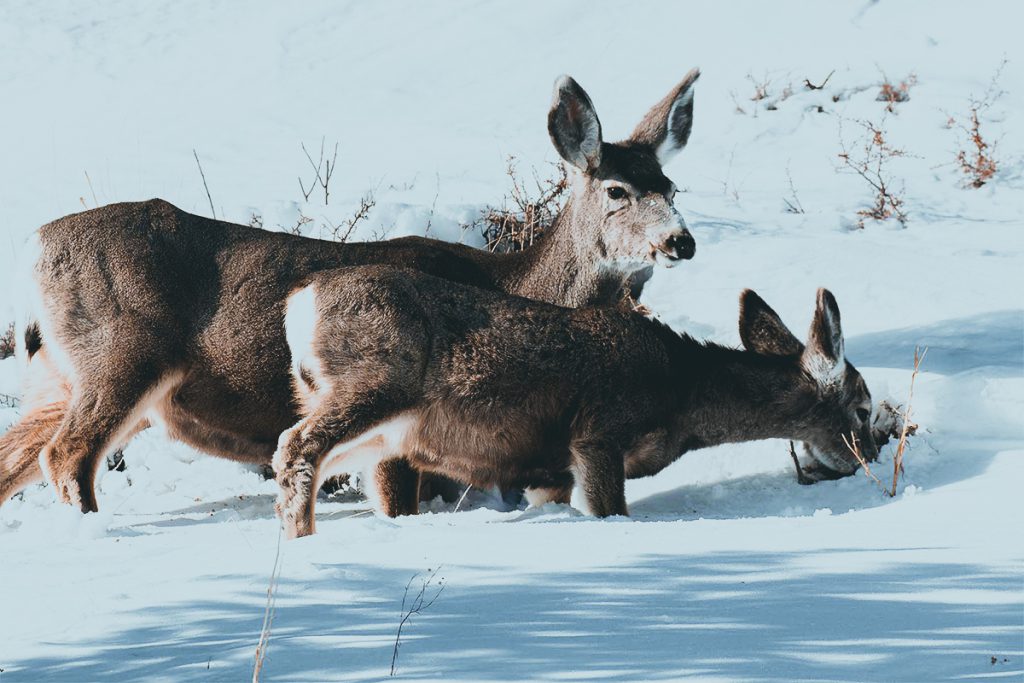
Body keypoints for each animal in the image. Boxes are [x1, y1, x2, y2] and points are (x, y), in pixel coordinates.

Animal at [0, 69, 701, 517]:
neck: (519, 284)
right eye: (616, 191)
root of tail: (31, 248)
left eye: (672, 186)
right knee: (68, 457)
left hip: (54, 375)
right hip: (122, 352)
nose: (681, 242)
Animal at [274, 269, 877, 538]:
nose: (867, 458)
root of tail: (300, 302)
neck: (685, 397)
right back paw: (300, 535)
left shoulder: (552, 471)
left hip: (370, 425)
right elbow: (612, 511)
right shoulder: (598, 432)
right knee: (295, 444)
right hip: (376, 381)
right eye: (864, 407)